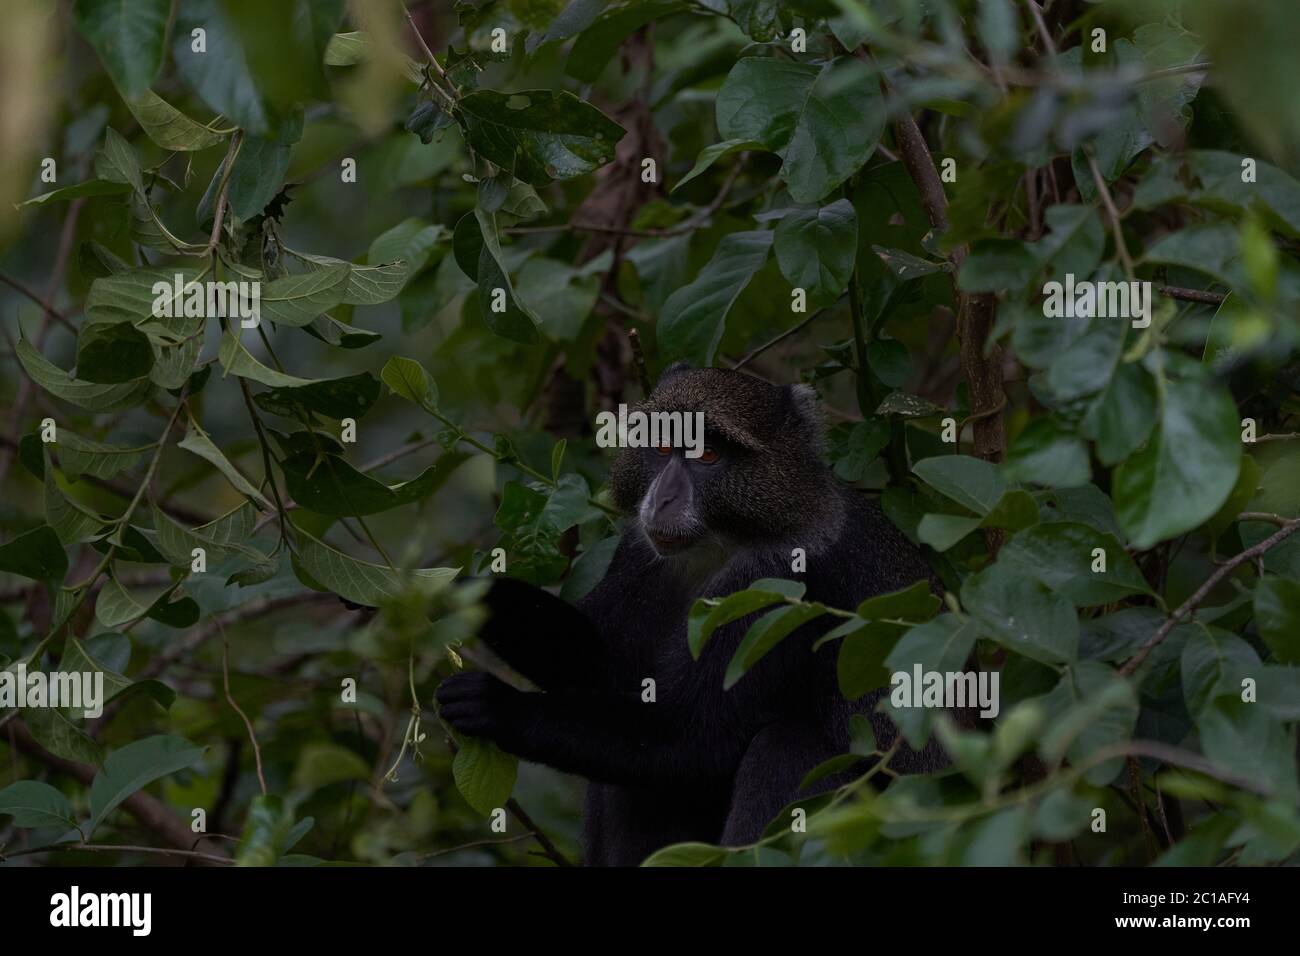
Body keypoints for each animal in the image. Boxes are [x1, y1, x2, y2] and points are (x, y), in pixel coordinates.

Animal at [436, 364, 949, 866]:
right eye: (663, 447)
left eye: (707, 455)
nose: (662, 499)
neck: (727, 540)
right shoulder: (640, 553)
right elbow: (606, 669)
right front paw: (458, 592)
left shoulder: (778, 584)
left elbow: (693, 740)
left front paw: (495, 704)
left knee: (789, 746)